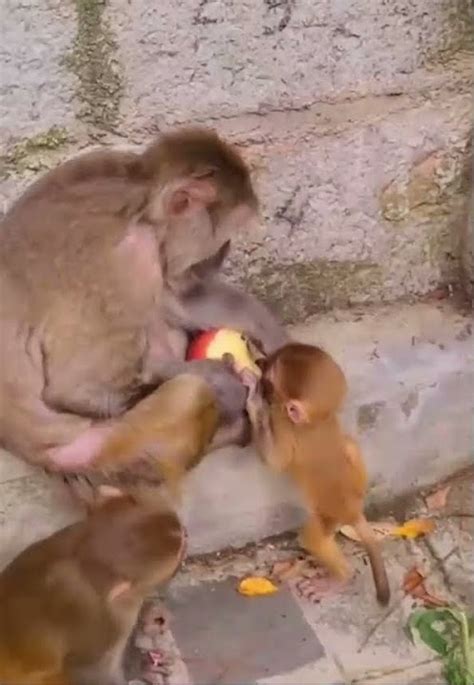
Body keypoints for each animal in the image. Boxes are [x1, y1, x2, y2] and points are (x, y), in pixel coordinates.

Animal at [0, 127, 288, 492]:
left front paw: (271, 334)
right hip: (107, 445)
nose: (219, 258)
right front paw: (223, 382)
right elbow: (76, 390)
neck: (145, 206)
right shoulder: (126, 263)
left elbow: (181, 298)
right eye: (221, 240)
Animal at [0, 485, 185, 685]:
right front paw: (139, 668)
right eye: (180, 549)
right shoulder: (109, 621)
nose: (186, 534)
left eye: (182, 531)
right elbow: (88, 671)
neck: (81, 557)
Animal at [241, 343, 390, 606]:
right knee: (350, 446)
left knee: (312, 539)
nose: (261, 362)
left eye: (270, 374)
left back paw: (341, 578)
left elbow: (275, 461)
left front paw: (254, 399)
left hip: (329, 515)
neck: (315, 421)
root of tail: (352, 510)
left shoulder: (283, 421)